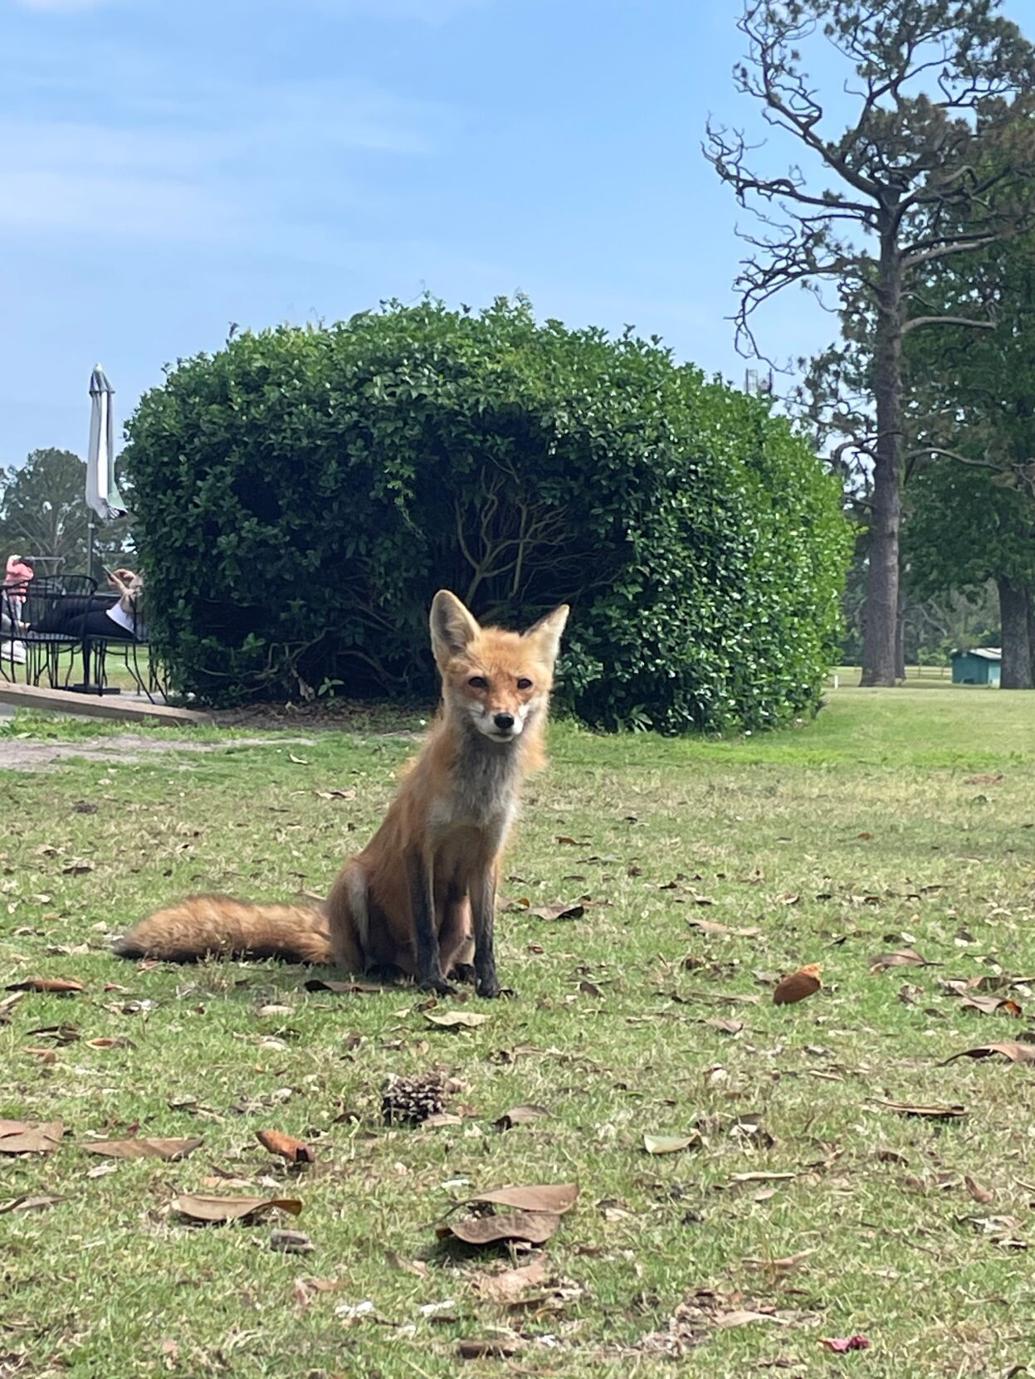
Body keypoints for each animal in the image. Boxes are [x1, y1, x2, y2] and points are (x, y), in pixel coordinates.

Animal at [113, 590, 569, 998]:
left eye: (523, 684)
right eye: (478, 682)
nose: (504, 720)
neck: (474, 798)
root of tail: (330, 941)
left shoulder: (488, 858)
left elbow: (489, 940)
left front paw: (488, 985)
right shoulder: (418, 849)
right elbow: (424, 928)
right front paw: (433, 984)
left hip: (460, 917)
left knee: (455, 949)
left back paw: (457, 971)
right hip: (352, 881)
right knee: (369, 961)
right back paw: (395, 973)